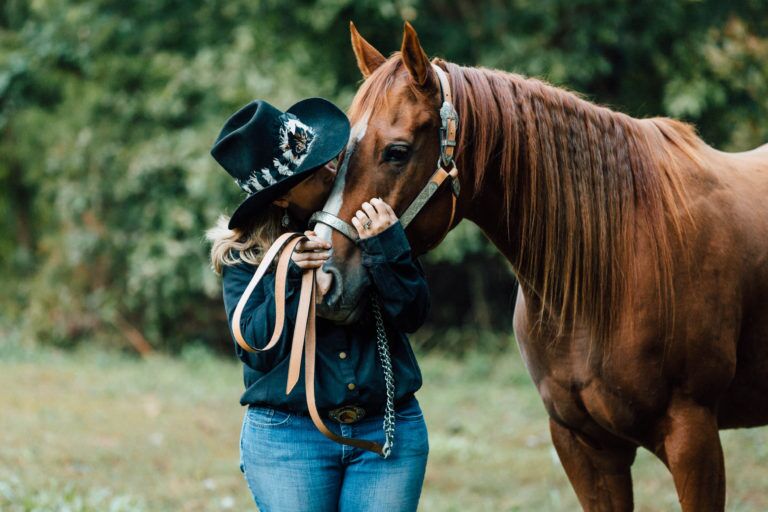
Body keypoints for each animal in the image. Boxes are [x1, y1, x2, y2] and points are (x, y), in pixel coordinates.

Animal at [312, 21, 768, 511]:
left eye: (396, 151)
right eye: (340, 153)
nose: (323, 279)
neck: (615, 267)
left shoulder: (693, 436)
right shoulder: (582, 444)